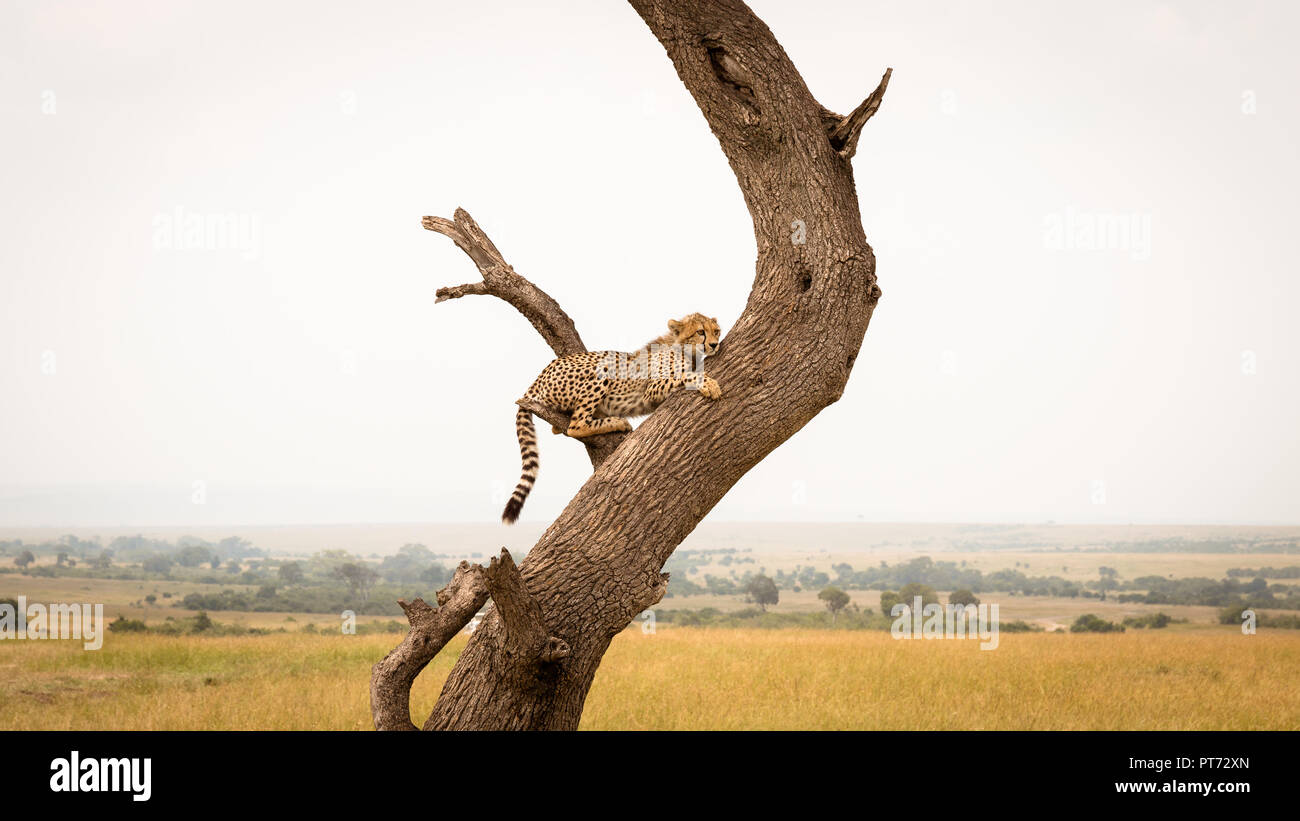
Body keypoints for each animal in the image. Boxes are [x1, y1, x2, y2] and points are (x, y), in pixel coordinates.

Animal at [501, 312, 723, 523]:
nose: (714, 344)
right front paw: (709, 384)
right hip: (602, 368)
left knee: (558, 428)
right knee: (575, 425)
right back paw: (618, 422)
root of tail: (538, 378)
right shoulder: (651, 390)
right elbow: (686, 376)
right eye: (700, 332)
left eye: (716, 331)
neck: (685, 349)